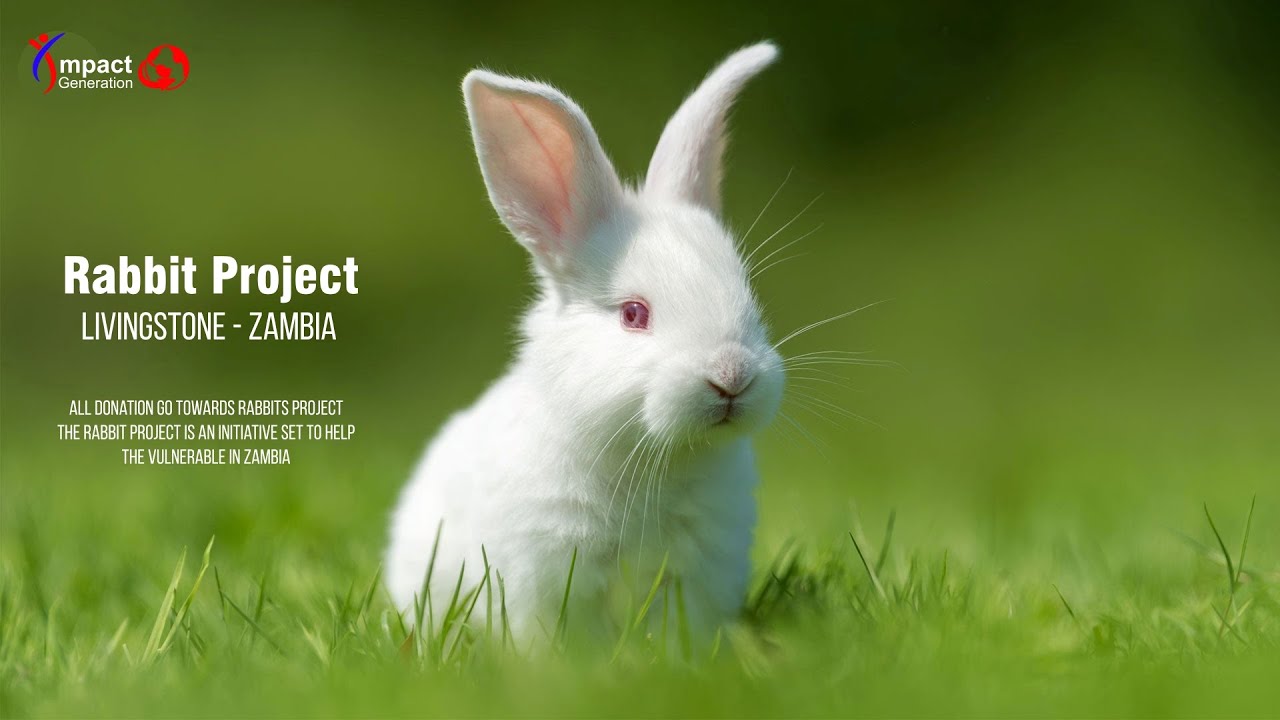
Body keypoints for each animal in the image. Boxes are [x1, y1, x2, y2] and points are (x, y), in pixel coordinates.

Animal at [386, 42, 786, 647]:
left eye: (747, 294)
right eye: (633, 314)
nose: (732, 376)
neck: (654, 458)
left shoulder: (697, 571)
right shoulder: (546, 570)